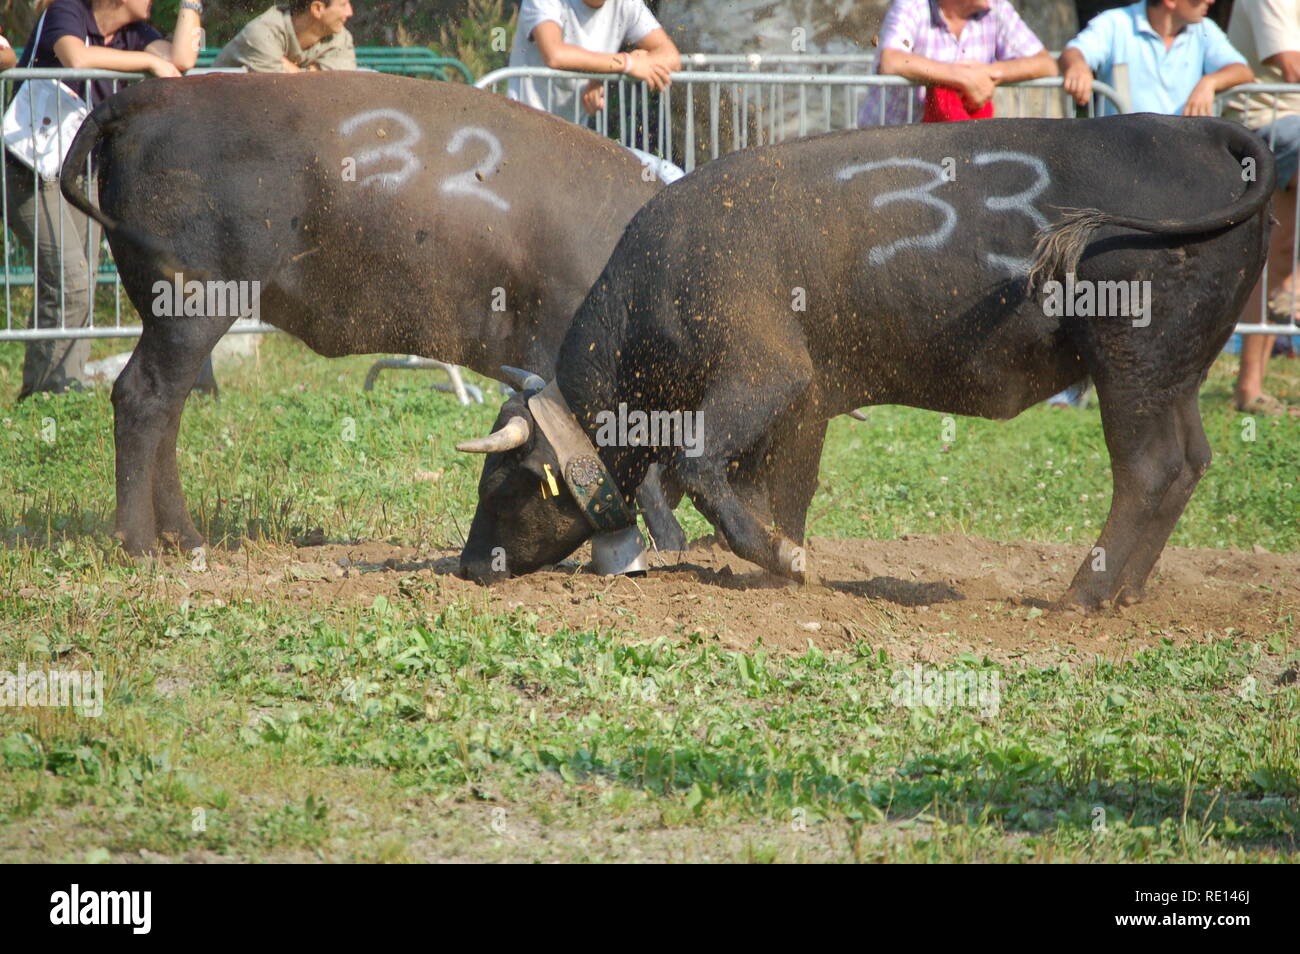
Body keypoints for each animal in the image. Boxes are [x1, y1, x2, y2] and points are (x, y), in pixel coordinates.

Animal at [58, 71, 687, 556]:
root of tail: (140, 100)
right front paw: (671, 542)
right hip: (192, 310)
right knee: (145, 399)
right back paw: (145, 545)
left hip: (176, 318)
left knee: (168, 409)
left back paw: (183, 539)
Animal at [455, 114, 1273, 611]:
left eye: (503, 483)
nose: (468, 565)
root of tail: (1201, 131)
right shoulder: (807, 404)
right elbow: (783, 488)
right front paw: (779, 565)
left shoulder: (764, 376)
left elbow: (700, 465)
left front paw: (787, 561)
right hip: (1175, 375)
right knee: (1188, 465)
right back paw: (1125, 591)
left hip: (1132, 367)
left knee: (1150, 471)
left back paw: (1084, 594)